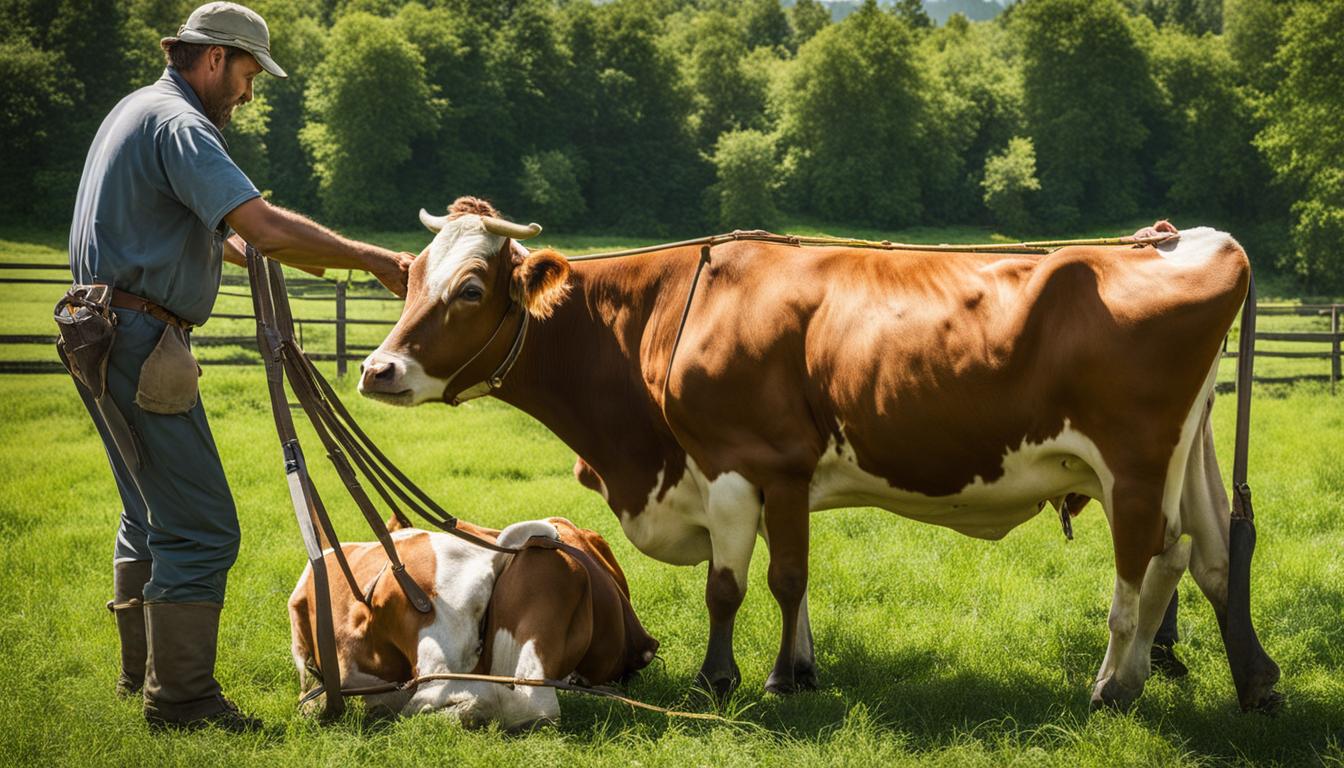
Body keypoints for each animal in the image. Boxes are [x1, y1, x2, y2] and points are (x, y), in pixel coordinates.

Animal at [357, 196, 1281, 712]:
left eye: (471, 288)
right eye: (408, 277)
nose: (378, 369)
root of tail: (1190, 238)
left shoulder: (741, 460)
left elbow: (740, 584)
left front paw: (730, 680)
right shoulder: (787, 473)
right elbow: (793, 576)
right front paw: (798, 669)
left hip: (1136, 461)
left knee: (1148, 564)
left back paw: (1114, 685)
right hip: (1188, 453)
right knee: (1209, 554)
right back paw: (1253, 680)